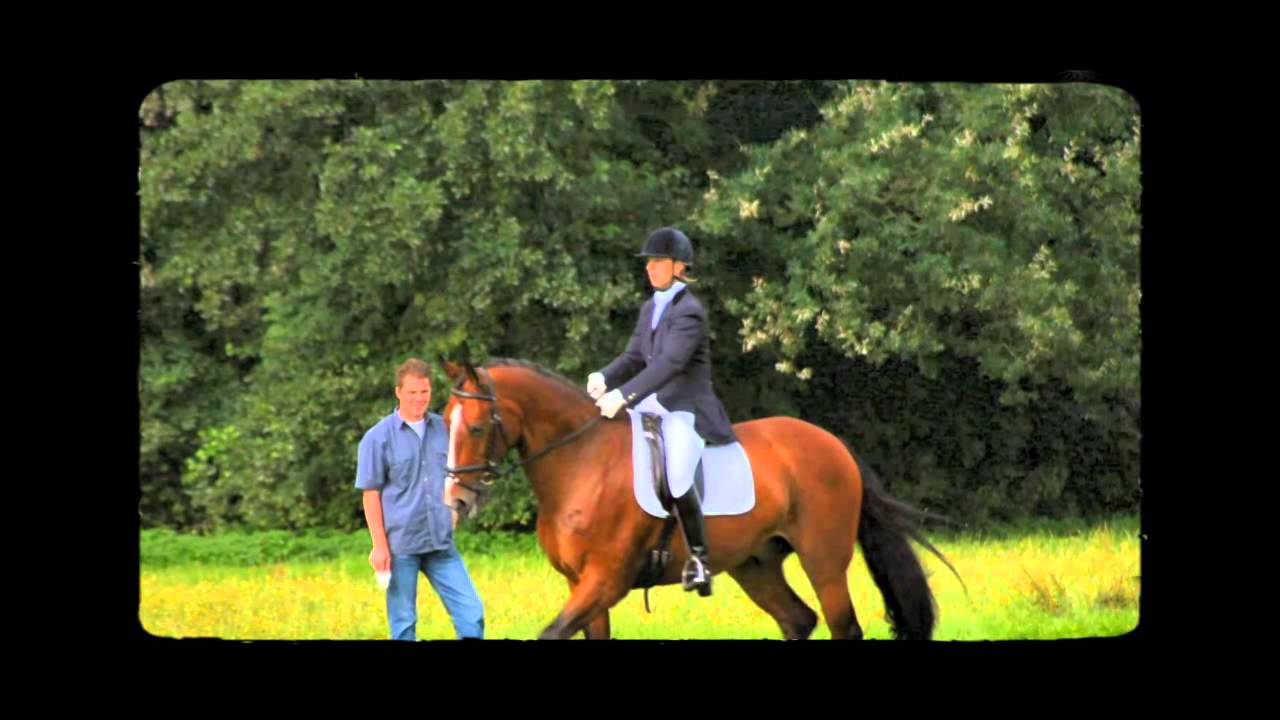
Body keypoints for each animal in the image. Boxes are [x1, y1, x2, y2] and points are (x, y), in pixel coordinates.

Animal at [440, 358, 961, 640]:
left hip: (824, 561)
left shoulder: (605, 580)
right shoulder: (580, 584)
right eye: (444, 420)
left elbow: (550, 631)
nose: (457, 502)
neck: (582, 462)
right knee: (798, 619)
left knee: (841, 626)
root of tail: (834, 444)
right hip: (756, 564)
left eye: (476, 428)